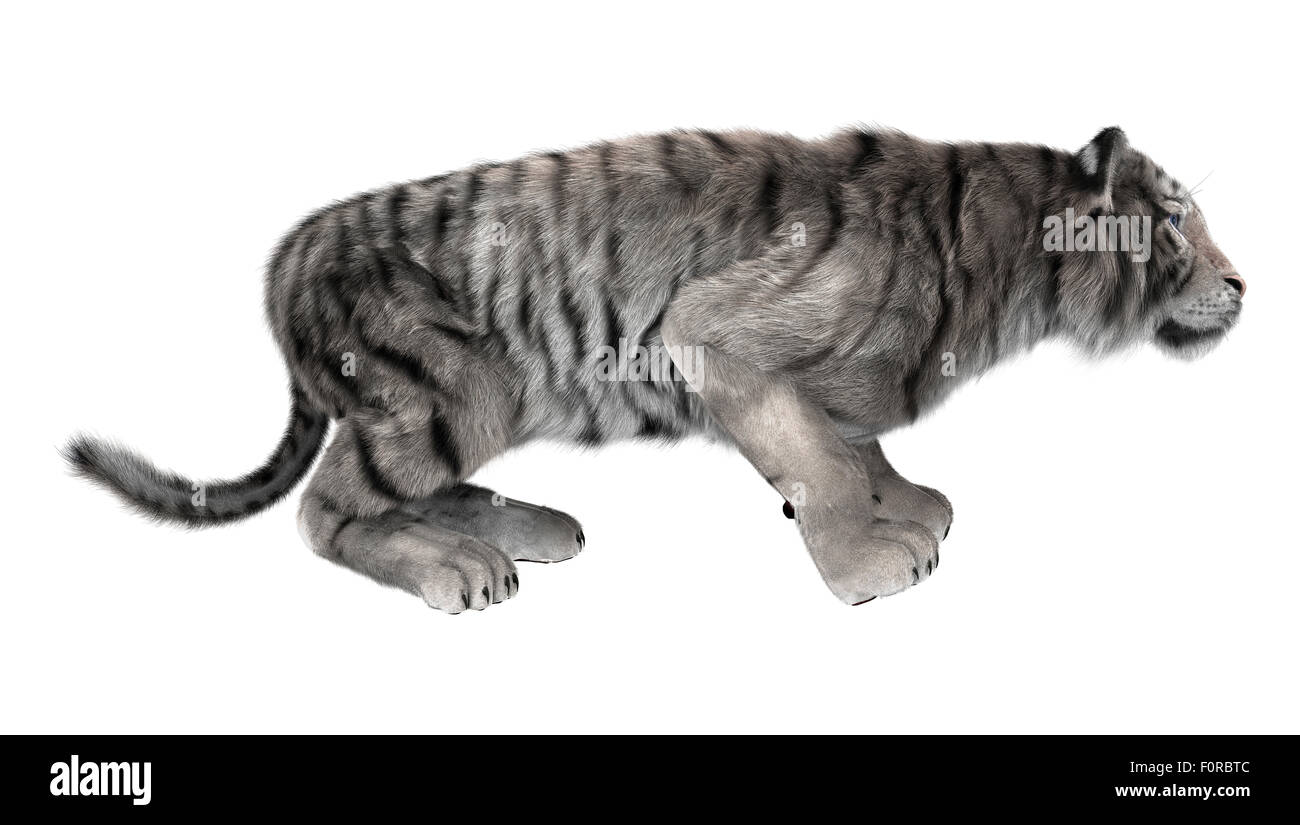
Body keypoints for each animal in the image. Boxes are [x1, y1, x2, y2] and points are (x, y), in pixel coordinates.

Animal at [65, 125, 1244, 612]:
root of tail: (286, 255)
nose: (1243, 285)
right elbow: (818, 462)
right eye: (1174, 217)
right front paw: (869, 562)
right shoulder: (708, 333)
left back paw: (519, 531)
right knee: (326, 510)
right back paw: (456, 568)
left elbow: (848, 440)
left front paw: (903, 502)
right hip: (455, 391)